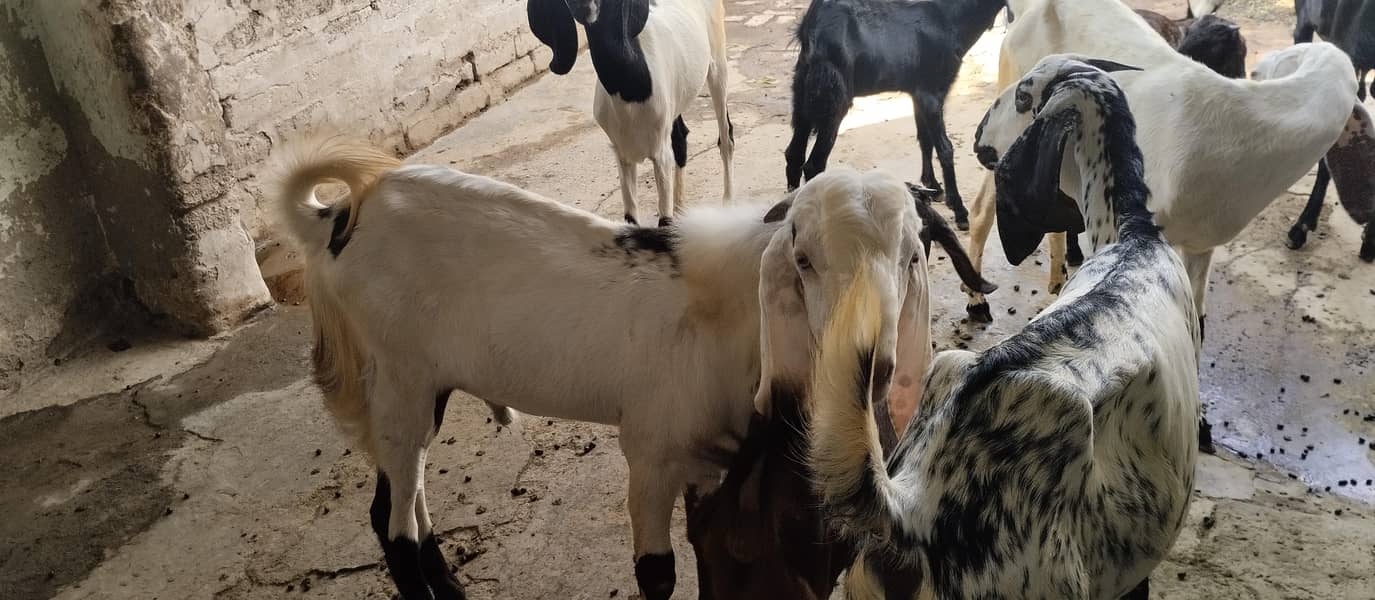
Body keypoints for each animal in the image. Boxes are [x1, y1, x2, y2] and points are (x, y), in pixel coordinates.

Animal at [273, 136, 993, 599]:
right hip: (398, 375)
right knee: (391, 524)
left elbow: (710, 554)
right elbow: (657, 572)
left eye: (914, 254)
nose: (876, 367)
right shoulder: (651, 450)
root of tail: (333, 221)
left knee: (402, 495)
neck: (722, 322)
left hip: (420, 385)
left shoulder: (708, 465)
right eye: (804, 259)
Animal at [528, 0, 734, 227]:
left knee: (726, 137)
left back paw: (727, 202)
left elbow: (664, 220)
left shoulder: (660, 155)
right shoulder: (622, 152)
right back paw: (680, 210)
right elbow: (630, 219)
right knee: (680, 137)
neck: (629, 88)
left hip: (717, 64)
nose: (582, 6)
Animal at [785, 0, 1009, 230]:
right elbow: (945, 148)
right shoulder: (931, 92)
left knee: (794, 154)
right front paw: (959, 210)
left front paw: (933, 187)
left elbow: (925, 140)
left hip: (803, 95)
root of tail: (811, 27)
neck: (946, 17)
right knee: (813, 164)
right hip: (833, 98)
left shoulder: (918, 93)